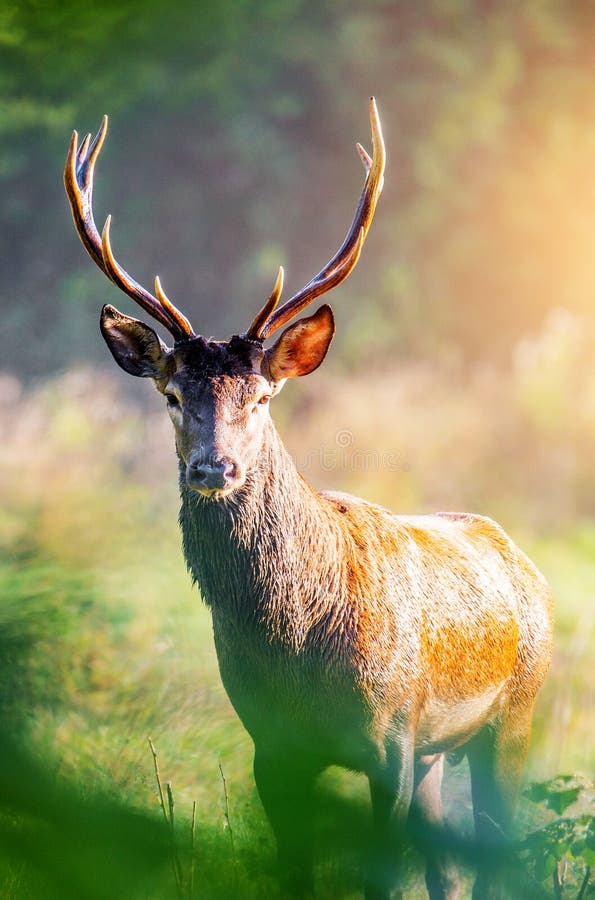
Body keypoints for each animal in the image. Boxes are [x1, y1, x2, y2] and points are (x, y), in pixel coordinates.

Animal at [64, 99, 553, 900]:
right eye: (171, 395)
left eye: (262, 397)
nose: (214, 467)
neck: (295, 644)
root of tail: (516, 554)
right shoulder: (271, 744)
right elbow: (294, 870)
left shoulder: (390, 735)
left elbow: (383, 877)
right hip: (437, 752)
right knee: (450, 869)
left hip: (514, 712)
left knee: (494, 853)